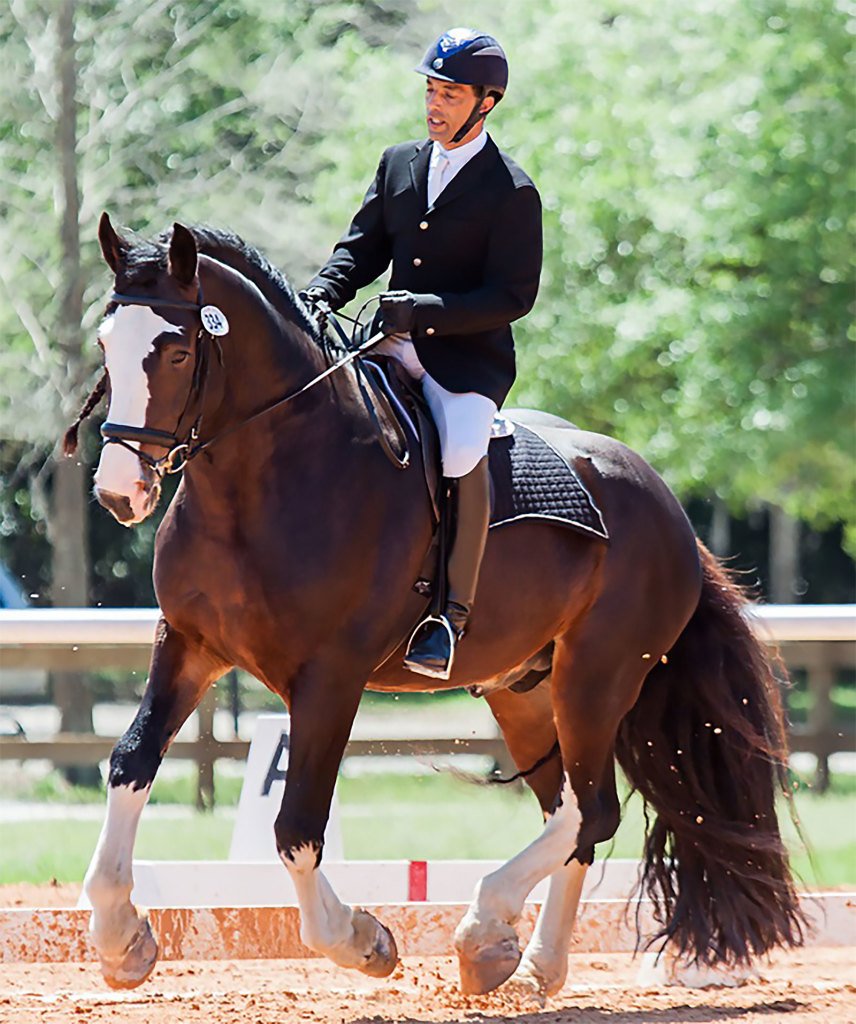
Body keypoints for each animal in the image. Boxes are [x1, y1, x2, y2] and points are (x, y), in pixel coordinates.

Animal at [73, 212, 804, 996]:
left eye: (177, 352)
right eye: (105, 346)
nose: (119, 492)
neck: (264, 478)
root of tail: (667, 505)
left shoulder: (330, 675)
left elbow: (297, 826)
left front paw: (360, 939)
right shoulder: (188, 644)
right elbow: (130, 763)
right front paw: (121, 939)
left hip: (596, 678)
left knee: (591, 811)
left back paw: (487, 926)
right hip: (523, 691)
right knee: (571, 813)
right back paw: (528, 963)